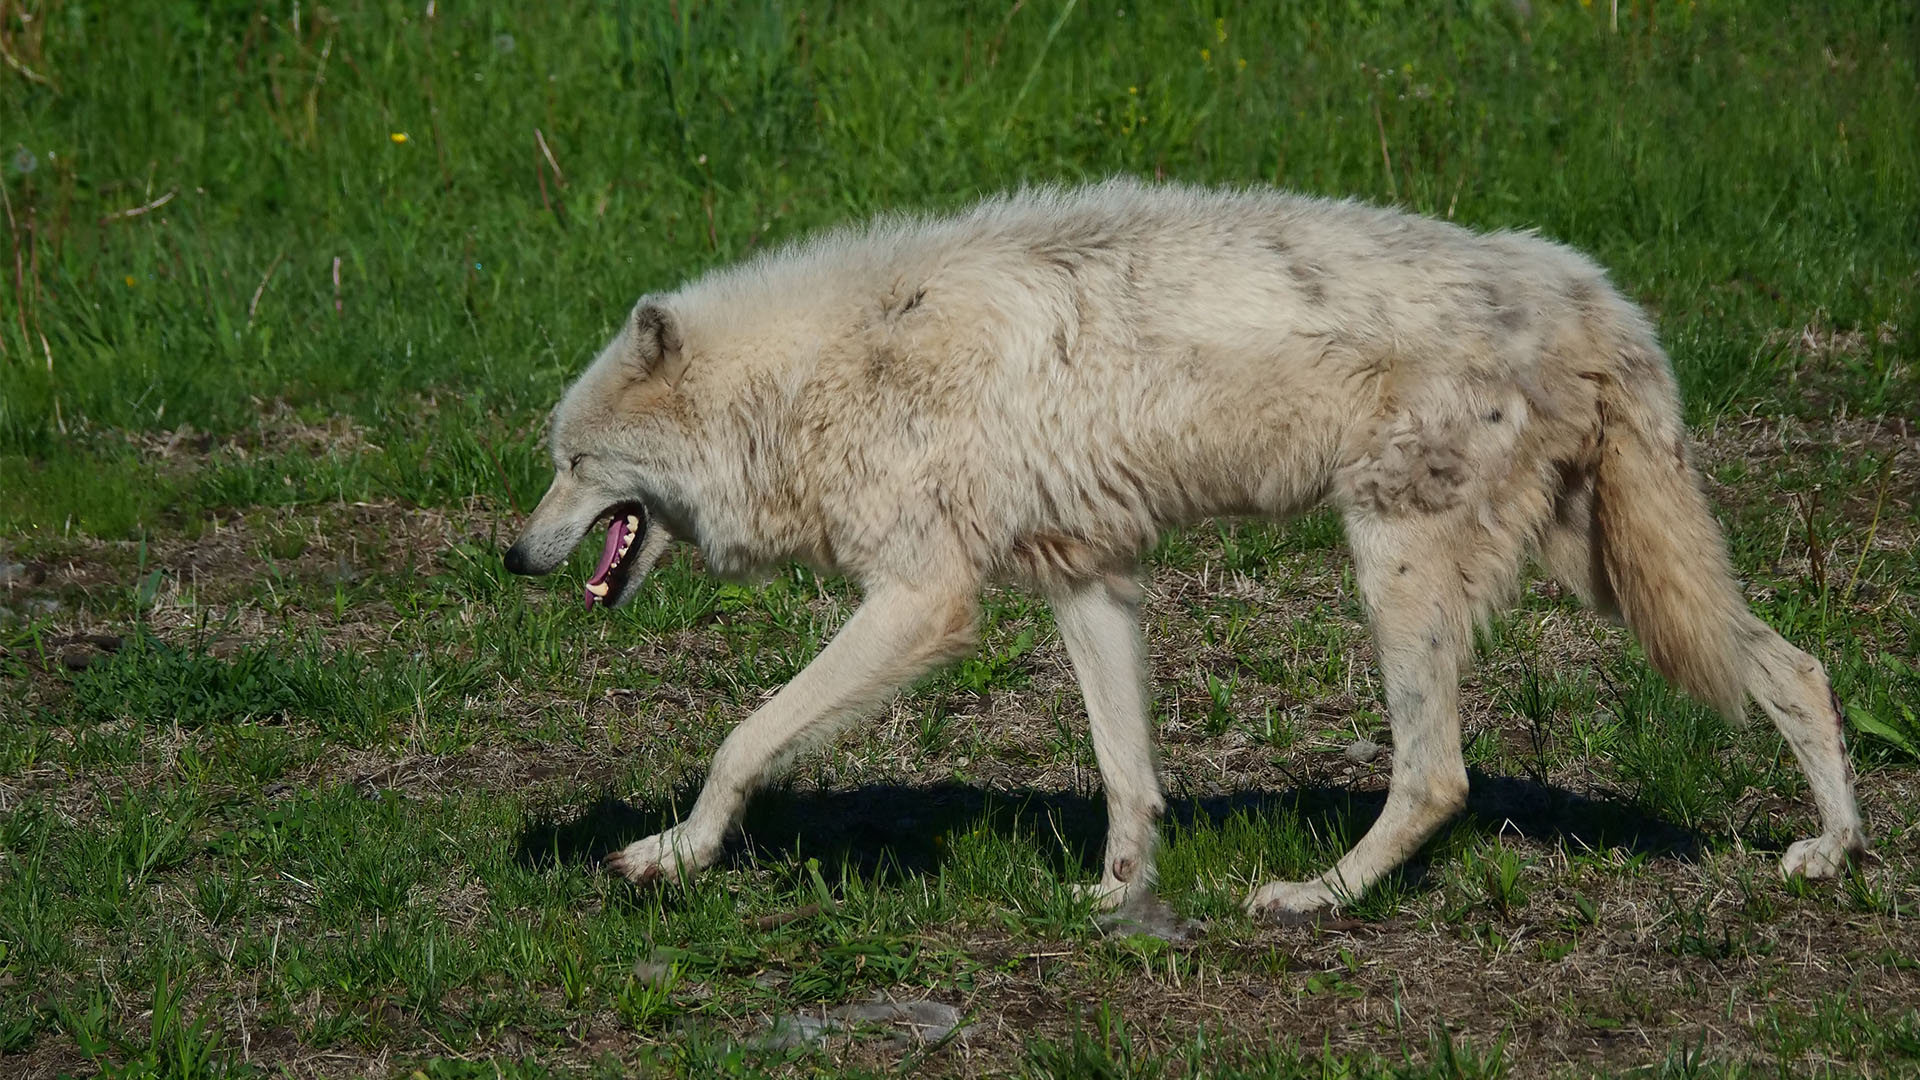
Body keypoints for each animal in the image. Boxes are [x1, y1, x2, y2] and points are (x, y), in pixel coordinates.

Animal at [503, 179, 1866, 916]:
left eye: (569, 462)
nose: (515, 556)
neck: (817, 380)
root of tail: (1595, 292)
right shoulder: (1088, 579)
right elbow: (1129, 773)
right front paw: (1119, 894)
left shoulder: (922, 601)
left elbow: (743, 741)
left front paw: (670, 857)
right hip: (1610, 576)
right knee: (1798, 666)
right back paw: (1831, 853)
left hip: (1398, 568)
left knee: (1437, 778)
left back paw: (1315, 899)